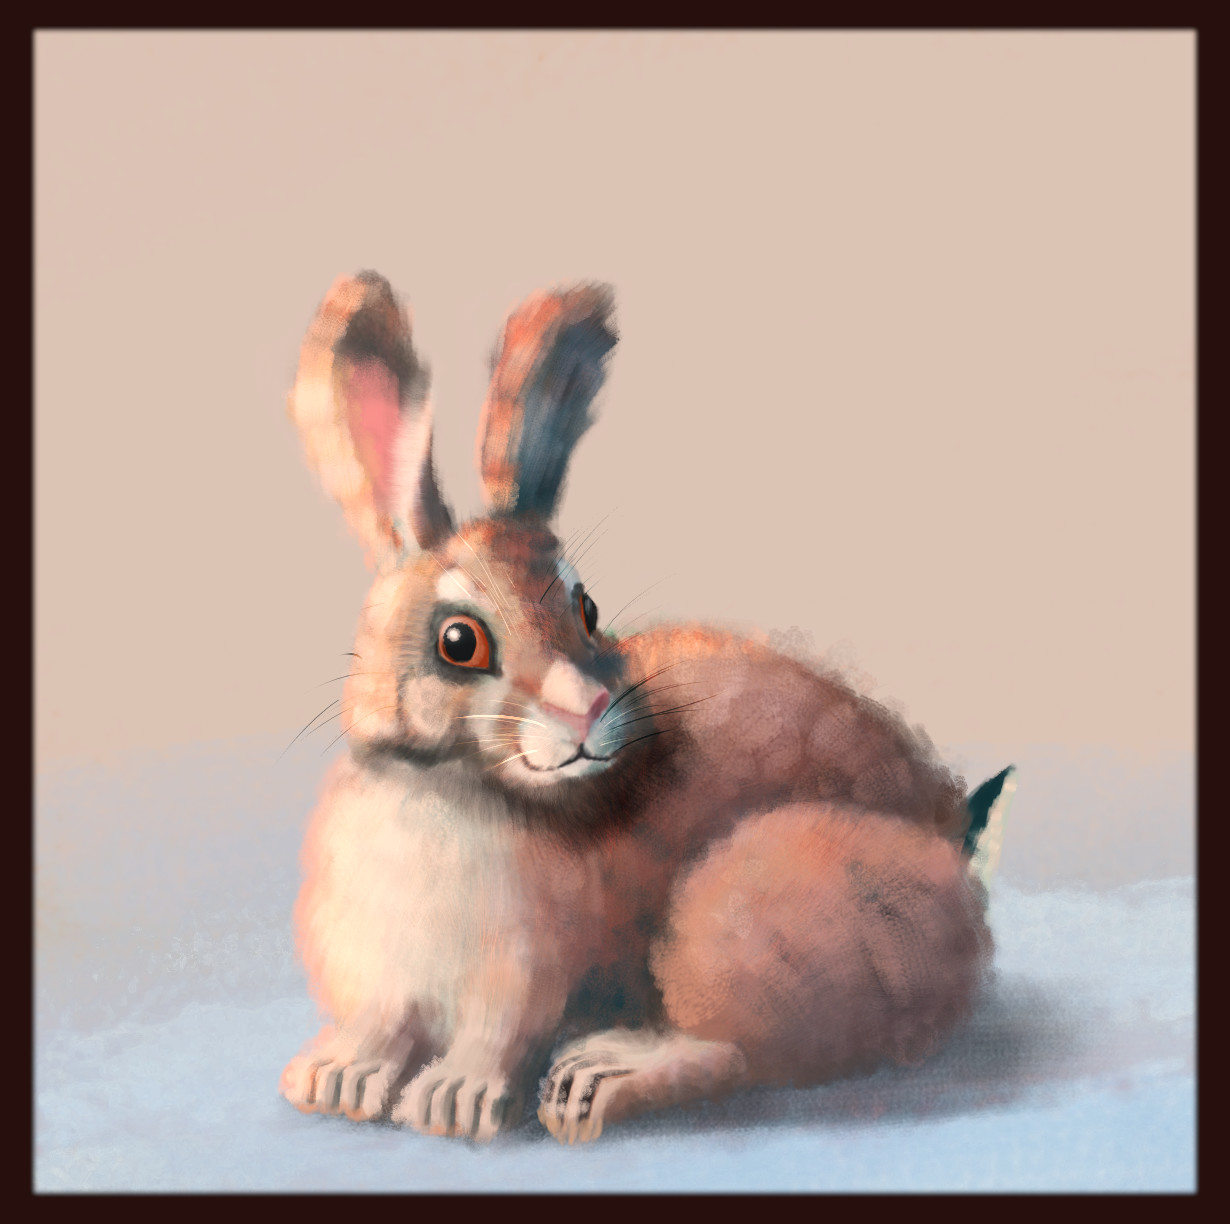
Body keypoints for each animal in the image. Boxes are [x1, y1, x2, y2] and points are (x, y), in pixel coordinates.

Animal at [278, 271, 1016, 1145]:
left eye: (586, 608)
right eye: (459, 642)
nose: (589, 707)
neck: (442, 784)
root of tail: (954, 847)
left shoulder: (521, 980)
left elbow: (496, 1040)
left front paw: (455, 1104)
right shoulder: (383, 983)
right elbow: (380, 1030)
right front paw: (336, 1079)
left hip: (734, 917)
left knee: (736, 1054)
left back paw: (601, 1075)